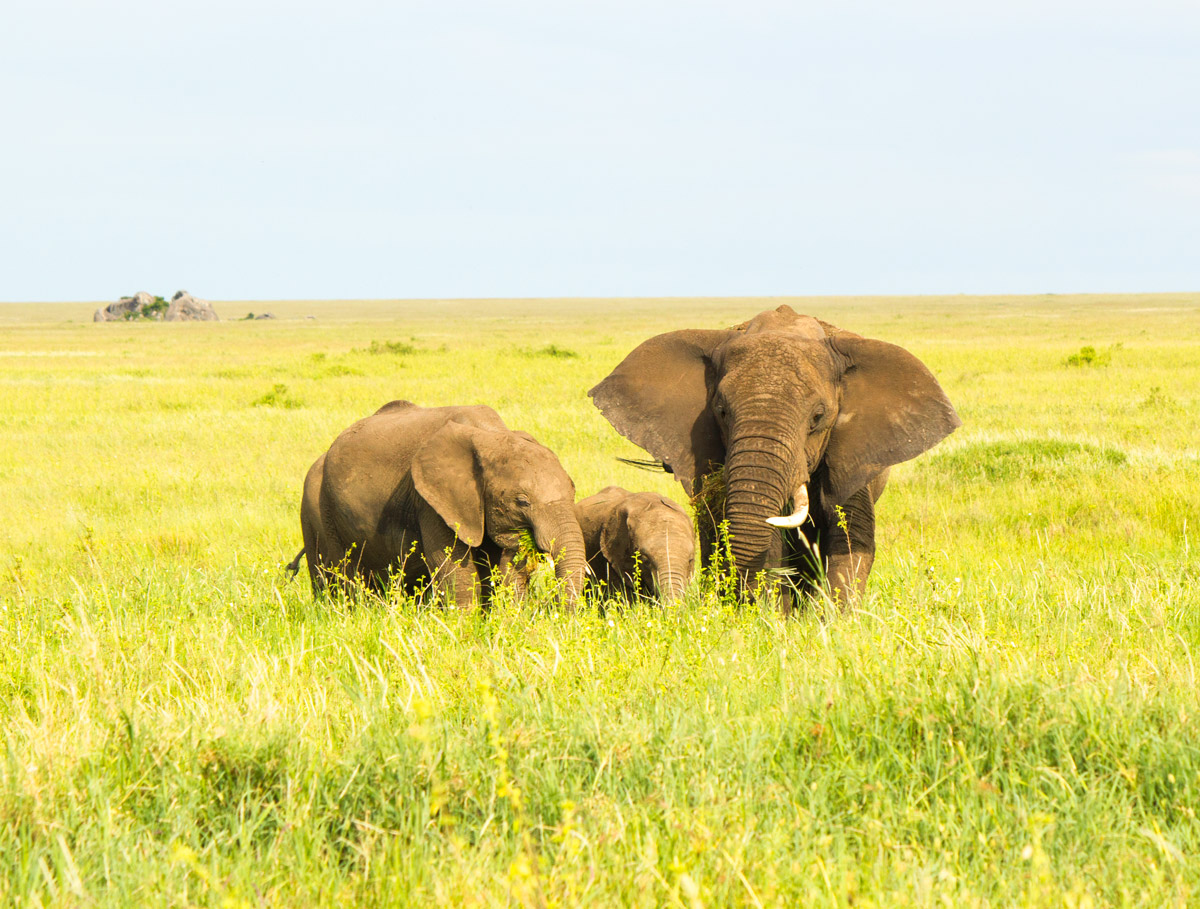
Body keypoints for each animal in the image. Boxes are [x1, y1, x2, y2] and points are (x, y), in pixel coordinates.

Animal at [291, 400, 586, 608]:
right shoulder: (430, 500)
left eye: (573, 492)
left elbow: (507, 567)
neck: (491, 436)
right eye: (522, 501)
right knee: (338, 578)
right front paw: (467, 631)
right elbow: (452, 565)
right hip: (319, 509)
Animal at [589, 305, 961, 606]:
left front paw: (831, 625)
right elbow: (766, 543)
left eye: (818, 417)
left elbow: (850, 536)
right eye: (721, 412)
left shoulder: (852, 450)